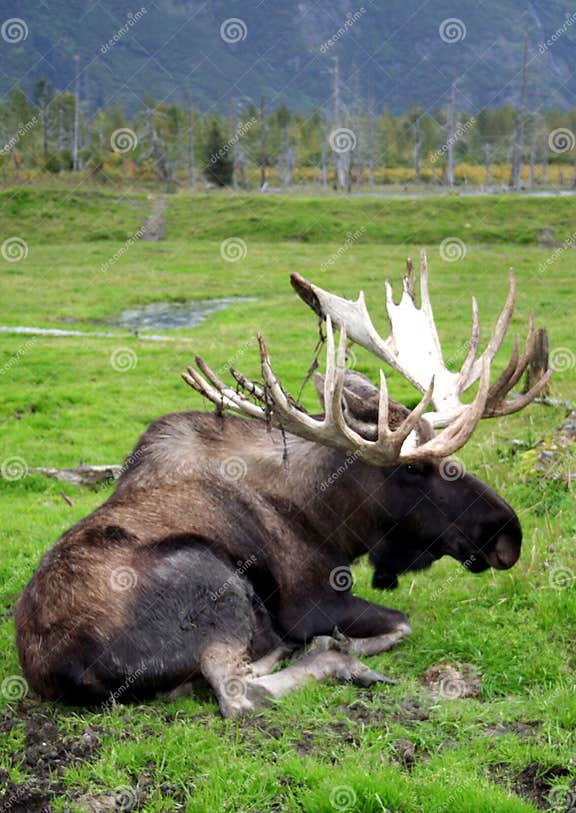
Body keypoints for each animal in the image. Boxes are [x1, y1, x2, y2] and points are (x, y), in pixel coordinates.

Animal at [15, 251, 552, 717]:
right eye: (413, 469)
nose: (507, 533)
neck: (333, 518)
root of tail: (68, 670)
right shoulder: (311, 600)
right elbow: (403, 622)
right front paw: (336, 642)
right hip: (214, 581)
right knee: (238, 693)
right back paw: (327, 656)